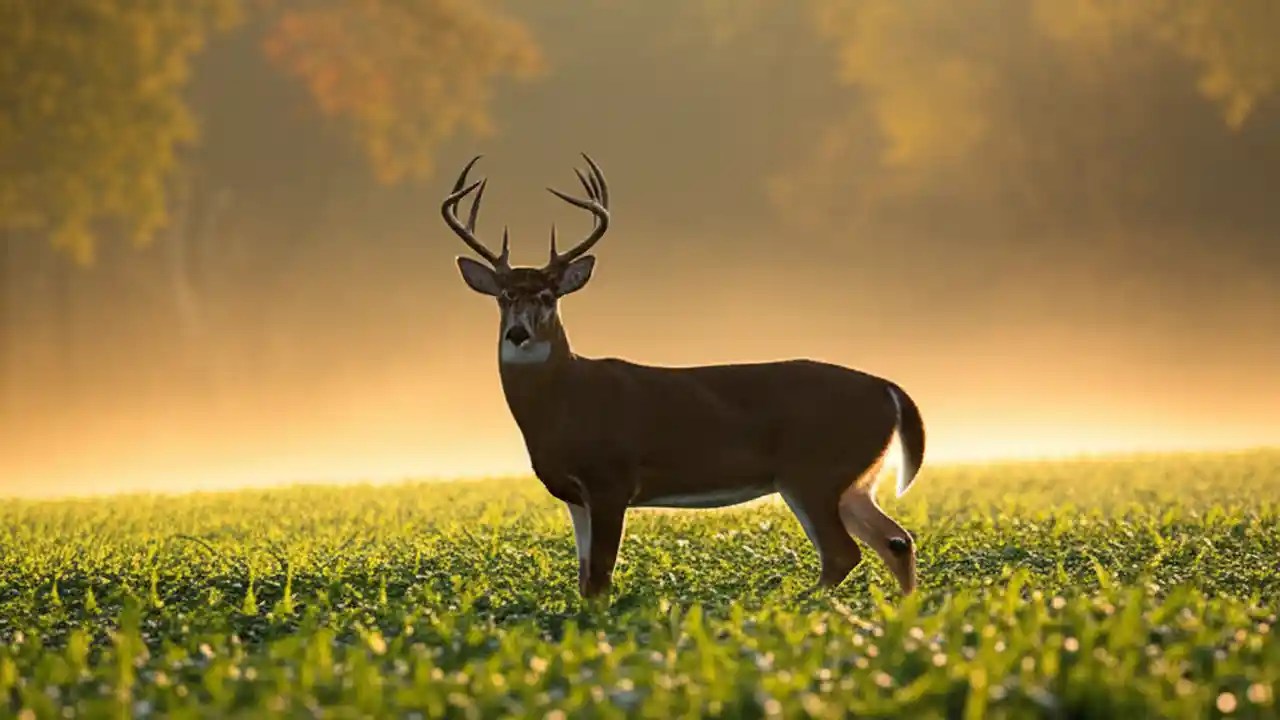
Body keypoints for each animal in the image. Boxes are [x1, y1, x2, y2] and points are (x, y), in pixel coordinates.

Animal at [442, 154, 926, 600]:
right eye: (504, 297)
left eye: (547, 295)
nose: (518, 333)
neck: (565, 401)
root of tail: (890, 389)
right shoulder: (574, 495)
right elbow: (583, 581)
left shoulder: (611, 478)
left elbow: (600, 577)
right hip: (855, 479)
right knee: (896, 540)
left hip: (813, 471)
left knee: (844, 552)